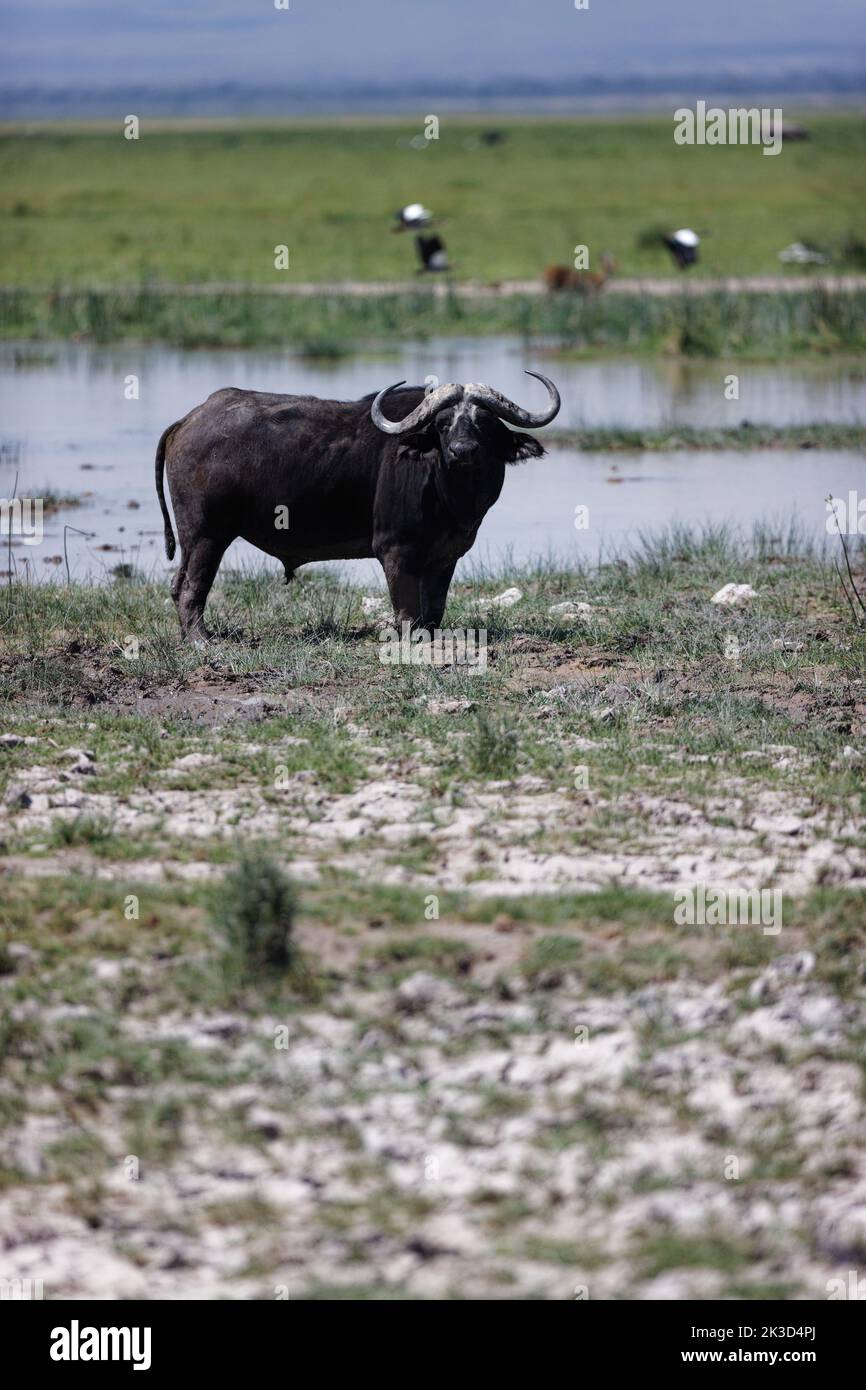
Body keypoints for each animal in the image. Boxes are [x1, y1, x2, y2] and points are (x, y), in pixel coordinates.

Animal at [155, 371, 560, 640]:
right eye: (444, 424)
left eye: (484, 423)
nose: (463, 451)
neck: (447, 493)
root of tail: (189, 420)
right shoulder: (395, 552)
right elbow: (407, 612)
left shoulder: (446, 556)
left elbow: (434, 609)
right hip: (206, 535)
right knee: (191, 587)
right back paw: (201, 641)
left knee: (180, 586)